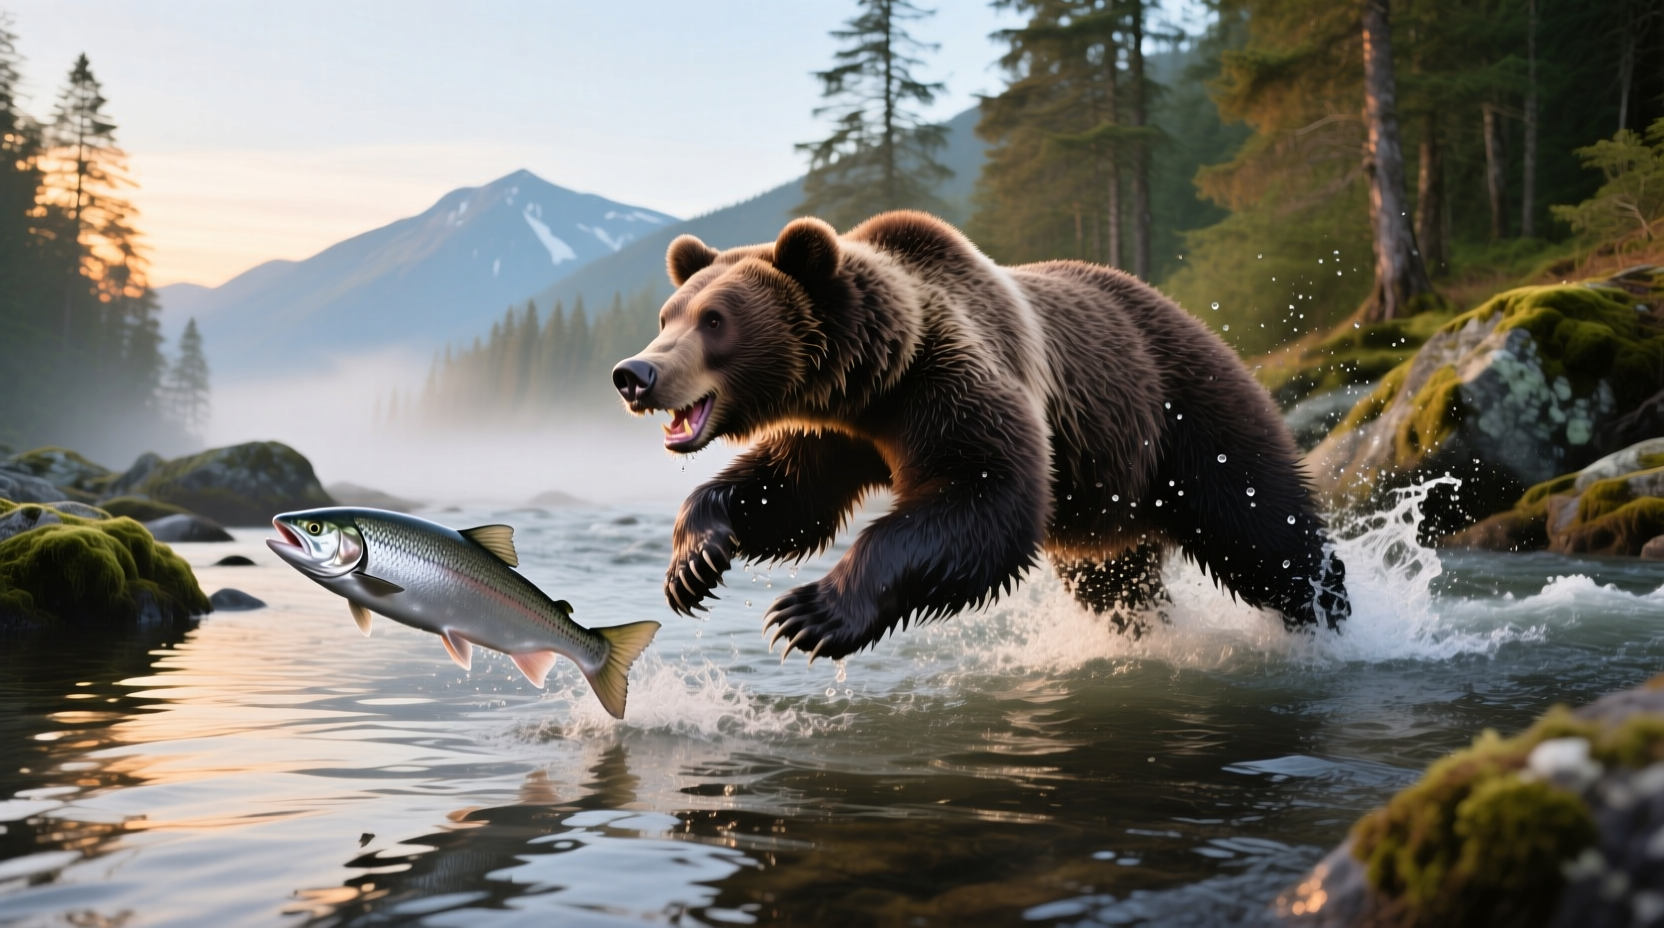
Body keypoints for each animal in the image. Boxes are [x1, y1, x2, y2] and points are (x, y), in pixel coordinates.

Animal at [611, 211, 1349, 661]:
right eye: (668, 315)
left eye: (715, 319)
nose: (635, 373)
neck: (876, 381)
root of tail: (1194, 319)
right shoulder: (838, 430)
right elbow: (787, 494)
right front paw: (694, 563)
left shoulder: (951, 381)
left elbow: (984, 493)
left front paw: (809, 614)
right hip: (1112, 496)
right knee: (1115, 579)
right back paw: (1141, 633)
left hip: (1188, 413)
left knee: (1264, 528)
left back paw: (1327, 612)